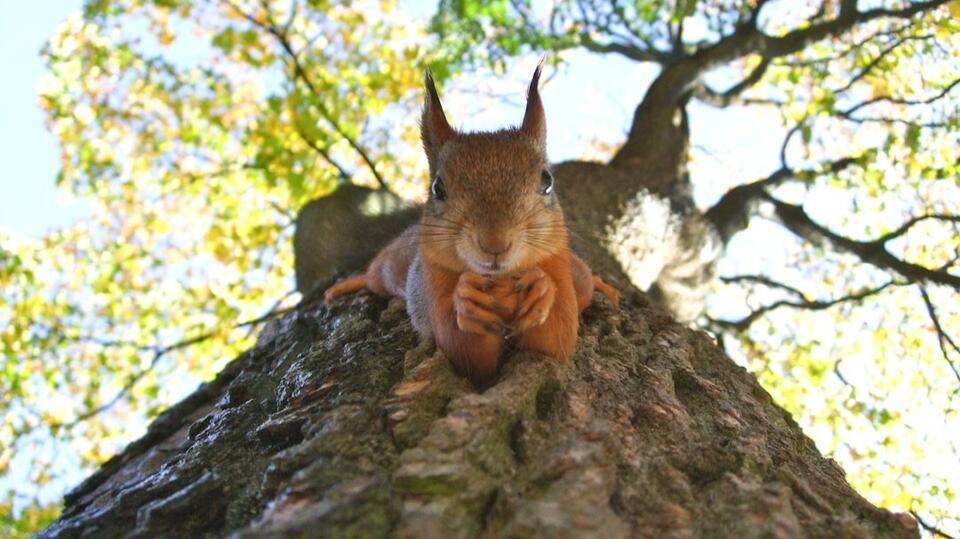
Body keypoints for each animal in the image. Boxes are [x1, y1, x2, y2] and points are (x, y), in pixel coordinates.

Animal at [323, 63, 619, 387]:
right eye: (438, 188)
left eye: (547, 181)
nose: (495, 244)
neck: (501, 283)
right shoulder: (434, 282)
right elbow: (466, 353)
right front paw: (466, 299)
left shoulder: (558, 268)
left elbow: (557, 340)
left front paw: (541, 289)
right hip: (391, 267)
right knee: (374, 275)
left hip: (577, 274)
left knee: (586, 280)